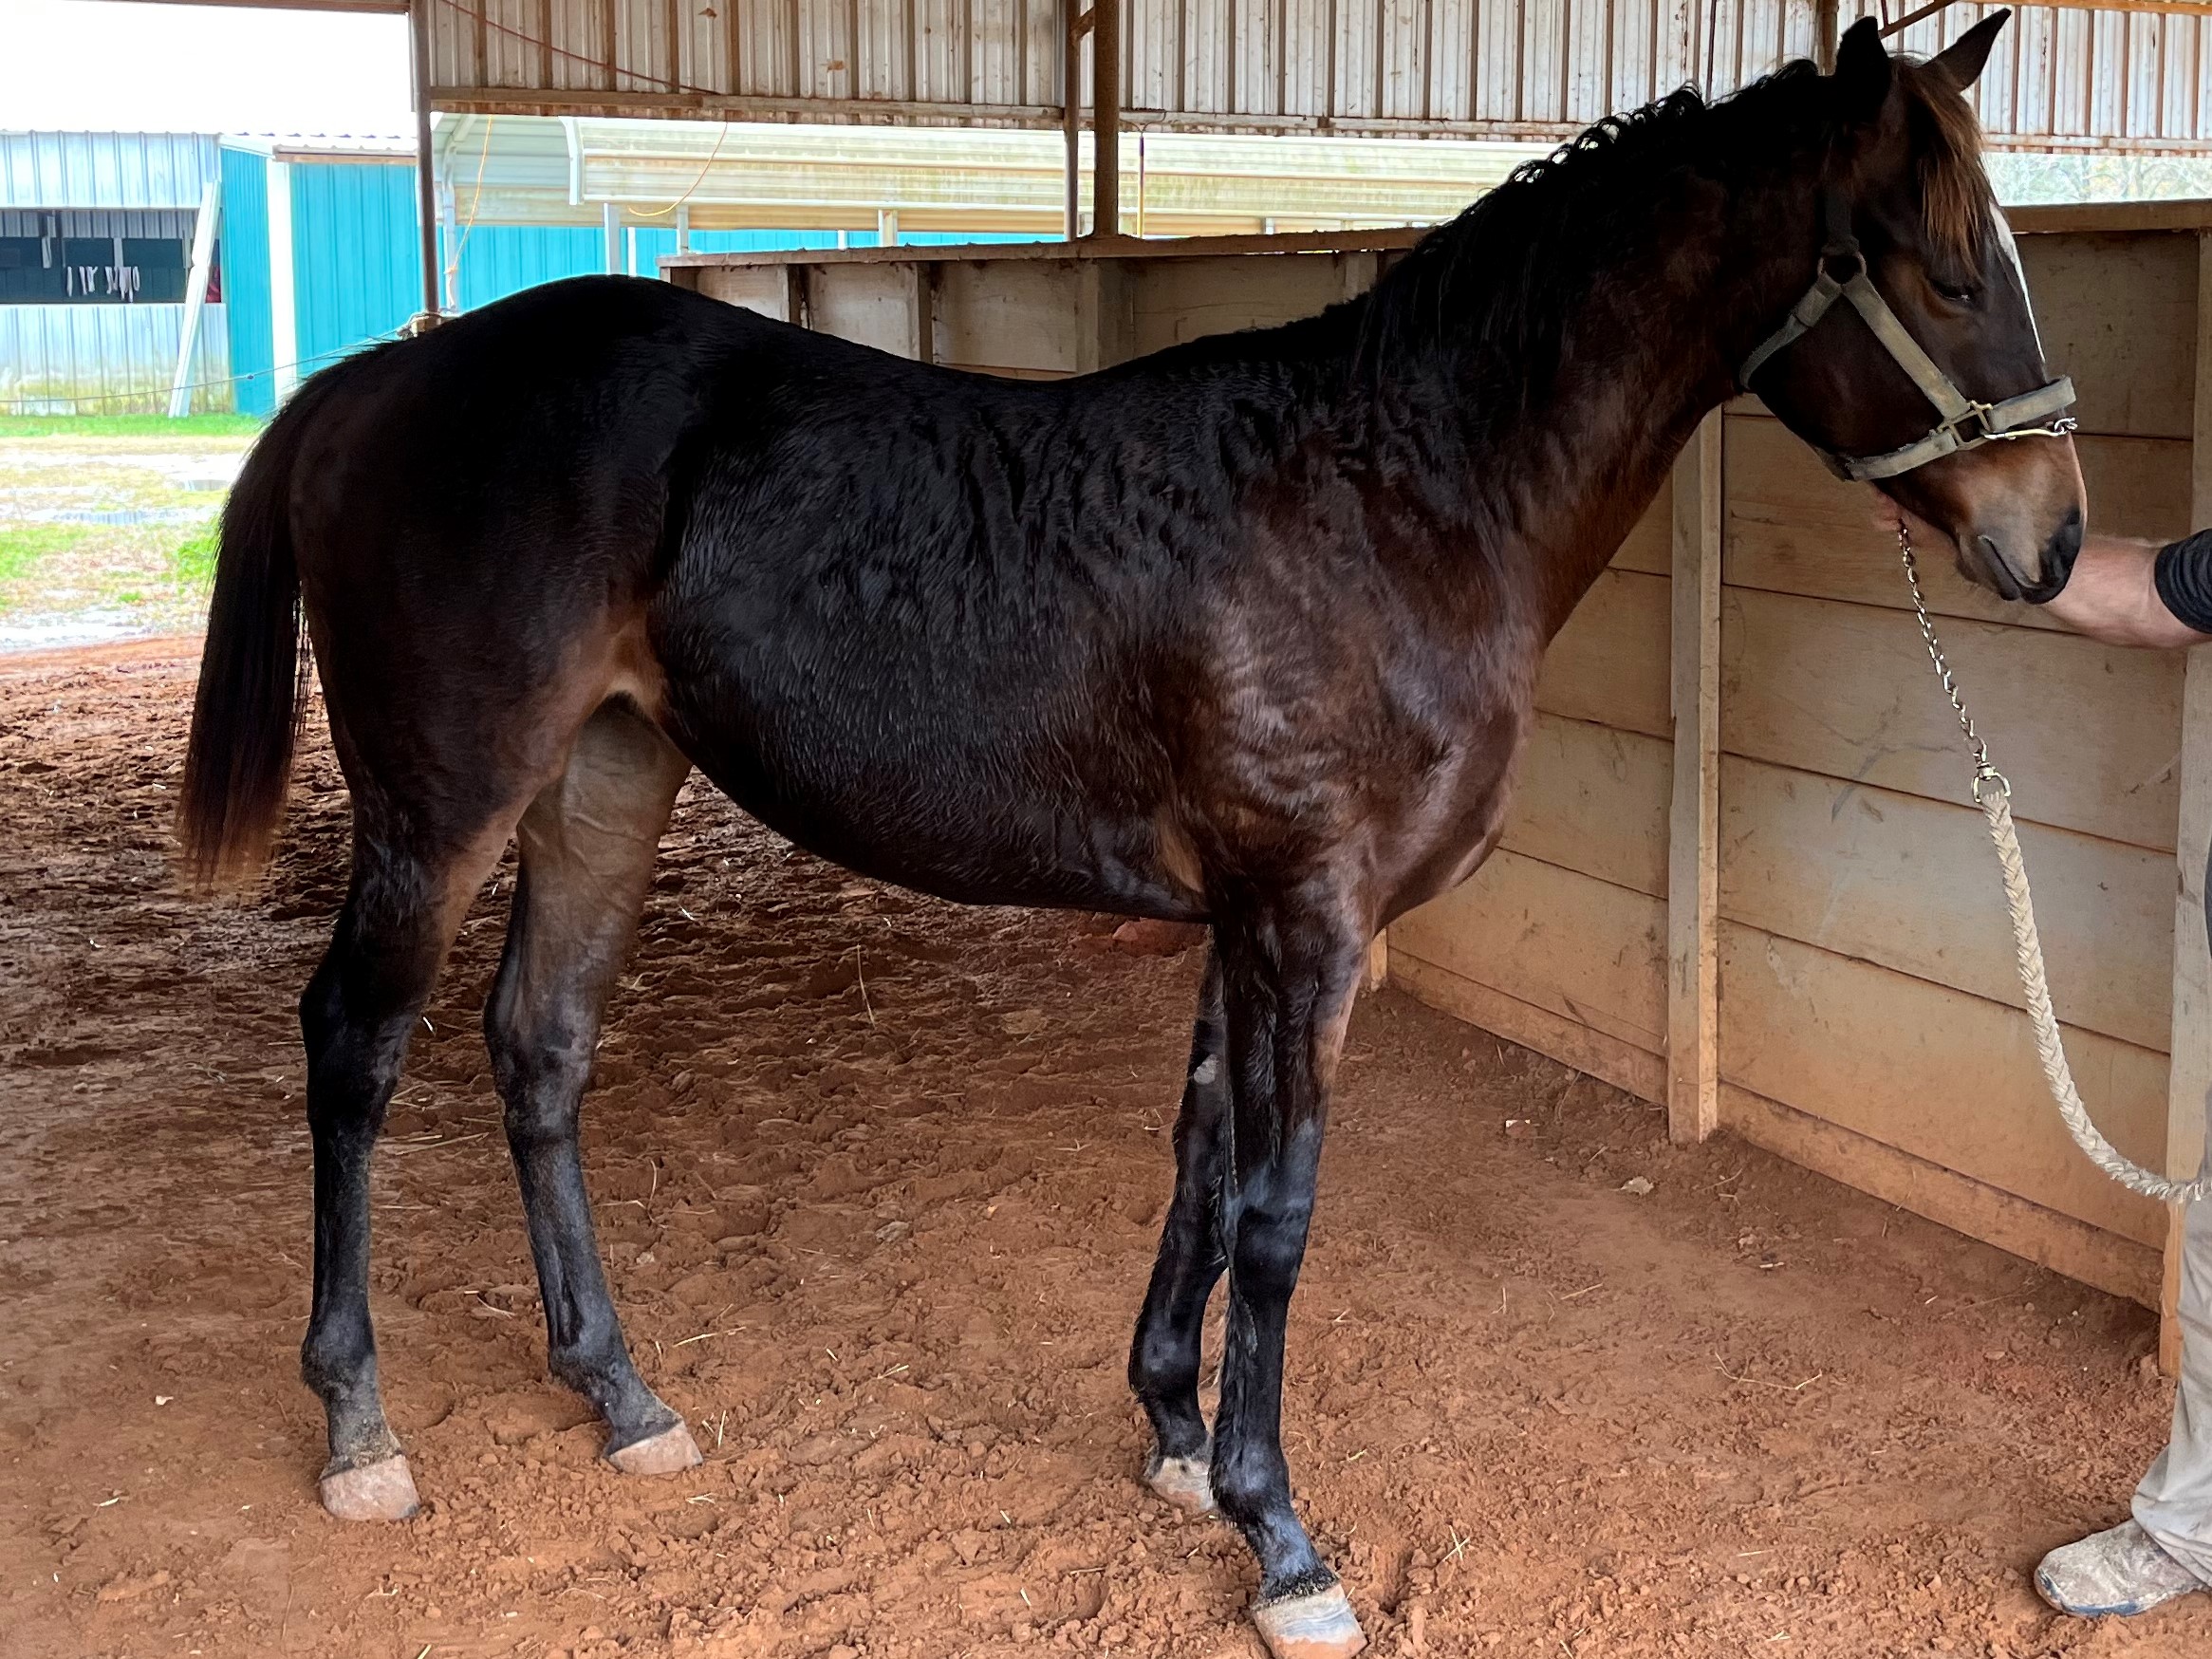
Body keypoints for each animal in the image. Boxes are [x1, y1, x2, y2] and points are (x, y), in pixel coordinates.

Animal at [178, 15, 2081, 1657]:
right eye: (1947, 266)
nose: (2053, 537)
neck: (1393, 492)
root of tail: (380, 380)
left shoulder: (1249, 917)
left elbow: (1200, 1157)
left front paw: (1172, 1431)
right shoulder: (1307, 918)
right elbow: (1279, 1211)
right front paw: (1281, 1538)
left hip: (604, 782)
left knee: (541, 1047)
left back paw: (619, 1390)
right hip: (441, 811)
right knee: (353, 1051)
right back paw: (360, 1427)